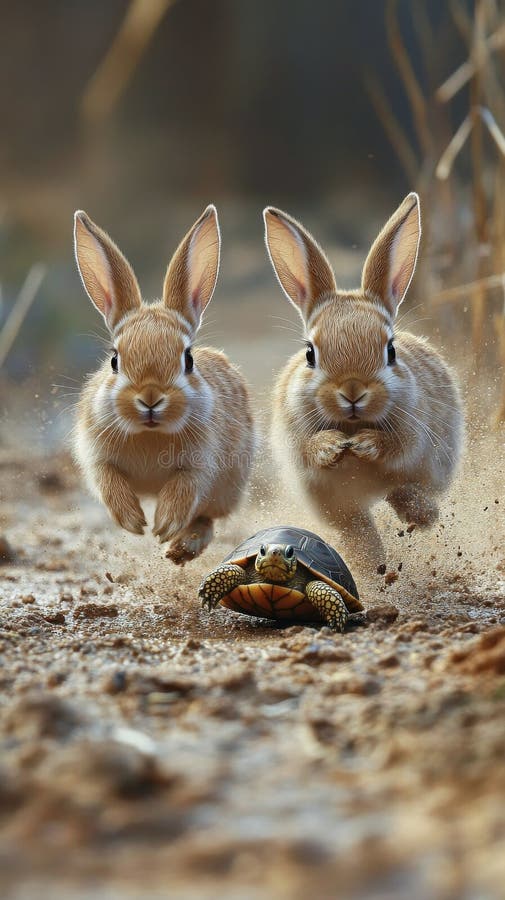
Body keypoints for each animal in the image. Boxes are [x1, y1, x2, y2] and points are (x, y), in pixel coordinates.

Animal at [73, 205, 255, 564]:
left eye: (188, 359)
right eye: (114, 360)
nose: (150, 398)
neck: (149, 433)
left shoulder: (201, 463)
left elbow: (185, 488)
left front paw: (162, 526)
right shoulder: (95, 453)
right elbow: (108, 480)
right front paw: (133, 522)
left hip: (227, 488)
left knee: (206, 519)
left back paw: (180, 549)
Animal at [264, 193, 464, 569]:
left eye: (391, 350)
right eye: (310, 353)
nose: (353, 391)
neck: (353, 423)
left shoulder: (414, 431)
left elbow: (397, 445)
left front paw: (363, 446)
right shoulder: (295, 437)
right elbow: (308, 449)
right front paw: (333, 447)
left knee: (409, 496)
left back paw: (415, 517)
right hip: (341, 509)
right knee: (360, 529)